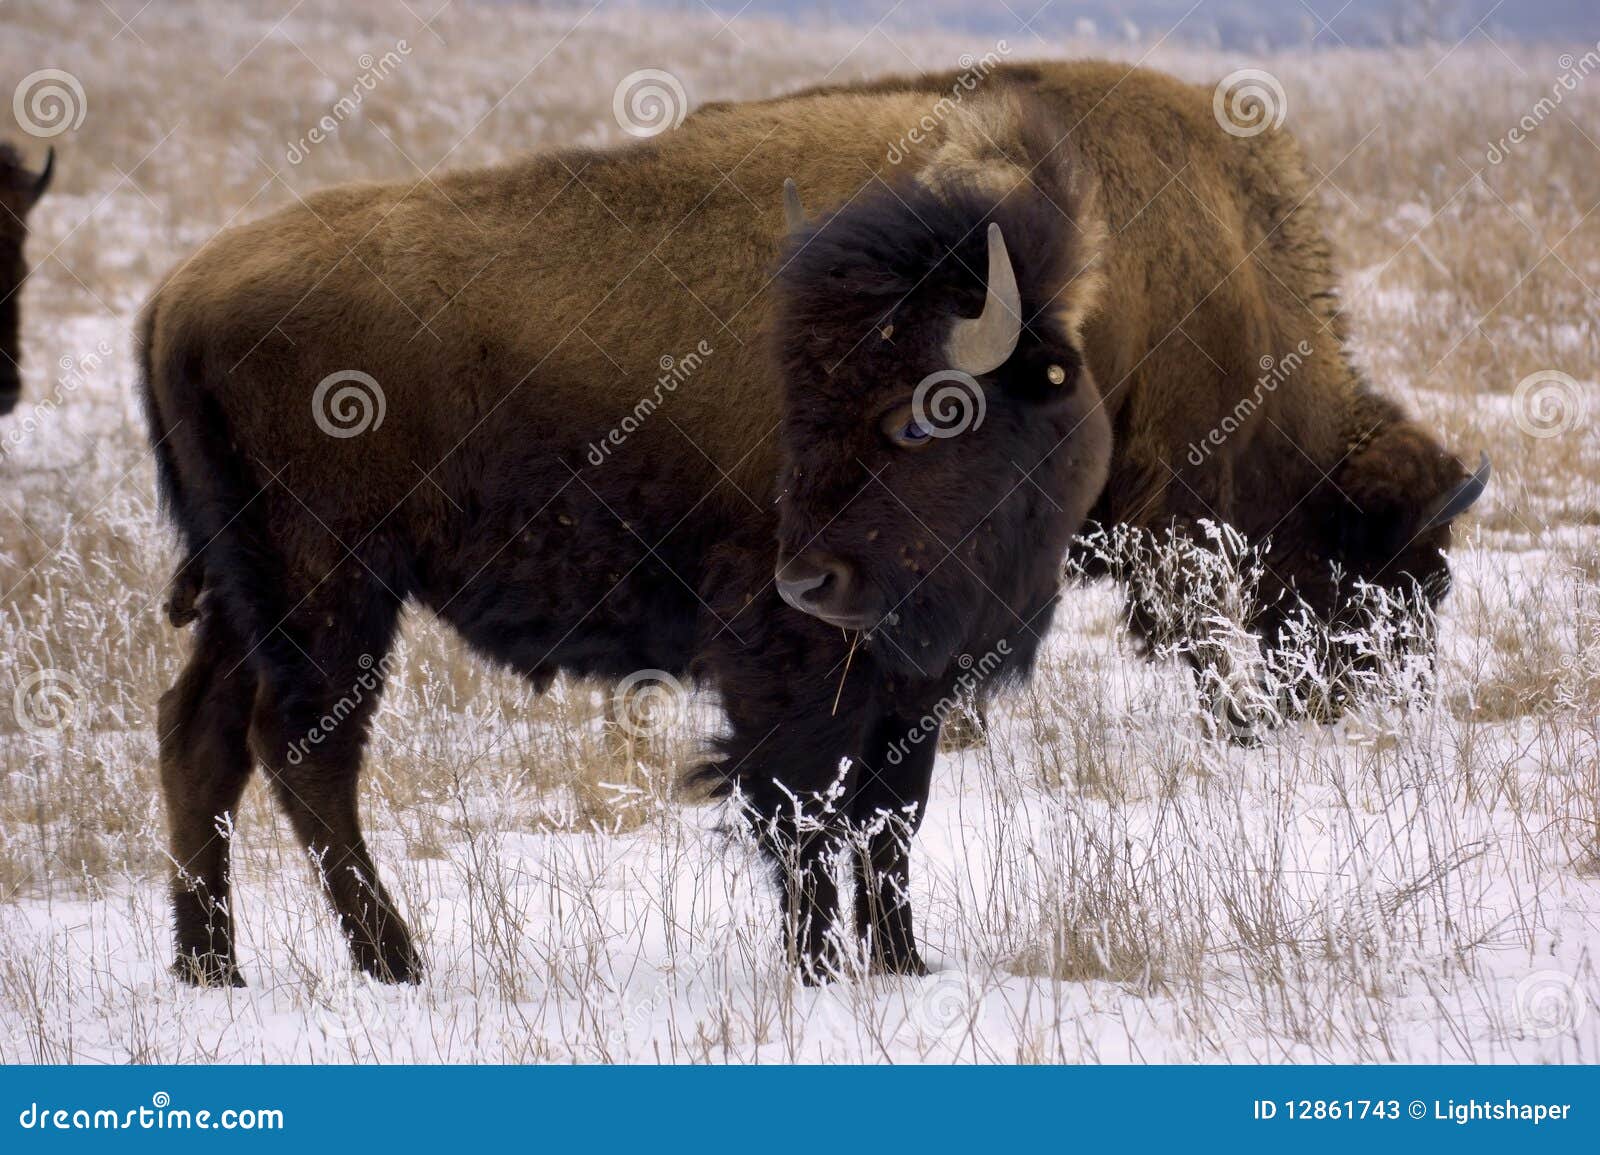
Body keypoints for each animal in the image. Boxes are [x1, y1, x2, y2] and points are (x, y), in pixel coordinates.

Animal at [143, 63, 1480, 986]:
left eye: (936, 410)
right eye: (1397, 574)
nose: (1379, 698)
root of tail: (176, 290)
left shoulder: (918, 665)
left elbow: (892, 813)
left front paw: (903, 963)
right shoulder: (795, 663)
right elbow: (804, 808)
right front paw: (822, 969)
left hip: (248, 594)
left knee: (201, 734)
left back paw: (214, 967)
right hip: (332, 593)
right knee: (305, 753)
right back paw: (395, 962)